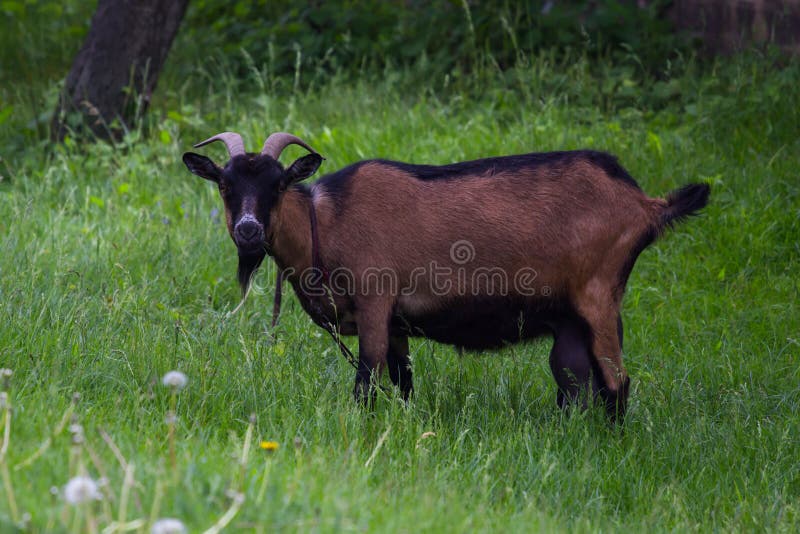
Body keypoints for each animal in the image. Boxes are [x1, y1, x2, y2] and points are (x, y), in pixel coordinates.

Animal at [182, 131, 710, 420]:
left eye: (277, 184)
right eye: (225, 184)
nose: (249, 230)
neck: (325, 221)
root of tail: (644, 204)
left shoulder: (375, 301)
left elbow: (366, 381)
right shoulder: (396, 322)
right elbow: (403, 382)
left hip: (598, 295)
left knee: (617, 384)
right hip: (571, 321)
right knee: (577, 384)